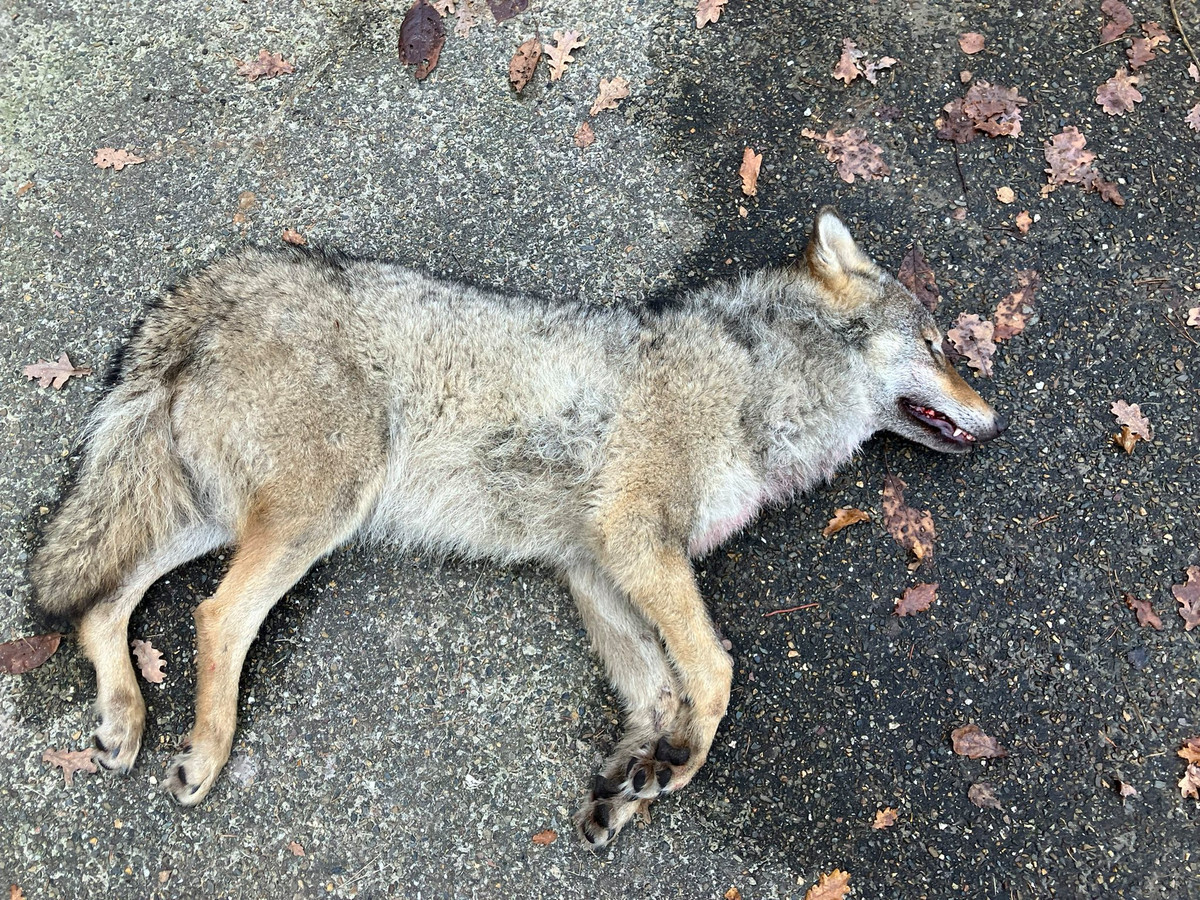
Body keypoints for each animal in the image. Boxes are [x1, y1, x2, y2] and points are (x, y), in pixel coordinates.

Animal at [30, 208, 1004, 847]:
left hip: (215, 517)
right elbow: (715, 673)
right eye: (941, 347)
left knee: (101, 603)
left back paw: (122, 718)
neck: (755, 378)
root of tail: (223, 278)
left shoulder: (596, 567)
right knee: (212, 617)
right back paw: (205, 751)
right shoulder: (637, 541)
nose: (996, 418)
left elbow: (658, 692)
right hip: (316, 517)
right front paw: (680, 763)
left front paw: (633, 782)